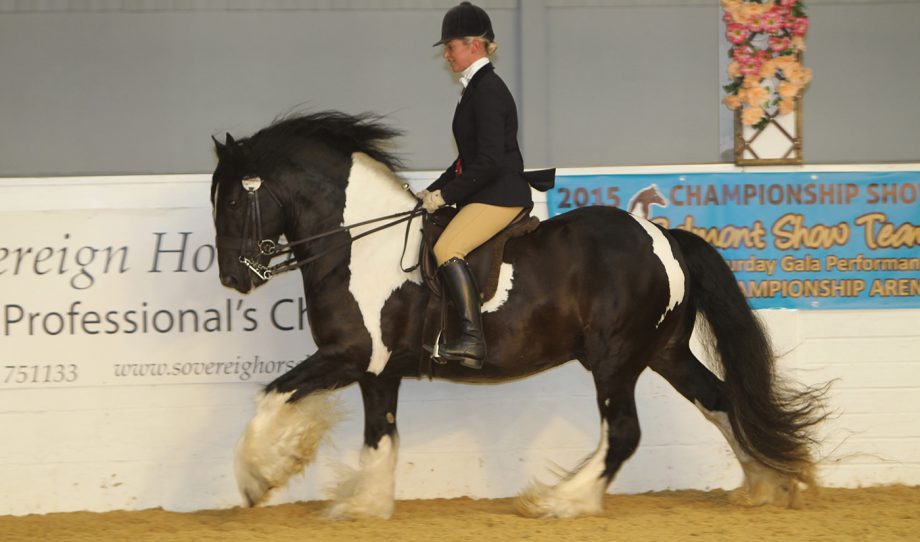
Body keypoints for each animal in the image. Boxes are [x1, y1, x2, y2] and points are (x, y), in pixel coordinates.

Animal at [210, 111, 825, 519]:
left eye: (234, 200)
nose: (234, 279)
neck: (359, 244)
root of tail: (664, 237)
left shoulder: (350, 356)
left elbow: (271, 397)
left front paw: (257, 477)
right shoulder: (377, 370)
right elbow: (379, 438)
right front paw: (365, 504)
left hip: (615, 358)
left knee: (624, 431)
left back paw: (562, 500)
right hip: (663, 352)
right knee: (719, 400)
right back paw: (765, 484)